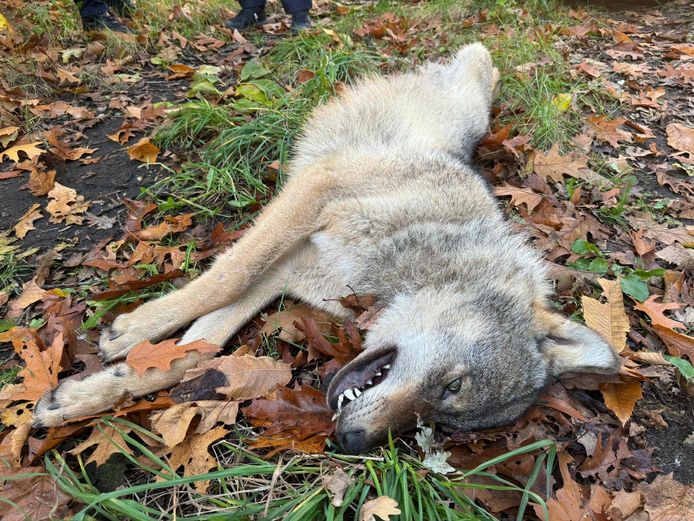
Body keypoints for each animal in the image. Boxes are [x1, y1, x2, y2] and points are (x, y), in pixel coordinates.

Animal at [34, 43, 619, 453]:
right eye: (453, 385)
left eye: (440, 425)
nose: (353, 443)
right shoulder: (313, 196)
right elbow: (223, 279)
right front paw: (131, 331)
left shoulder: (289, 272)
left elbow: (196, 352)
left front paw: (78, 399)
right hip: (469, 94)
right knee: (483, 65)